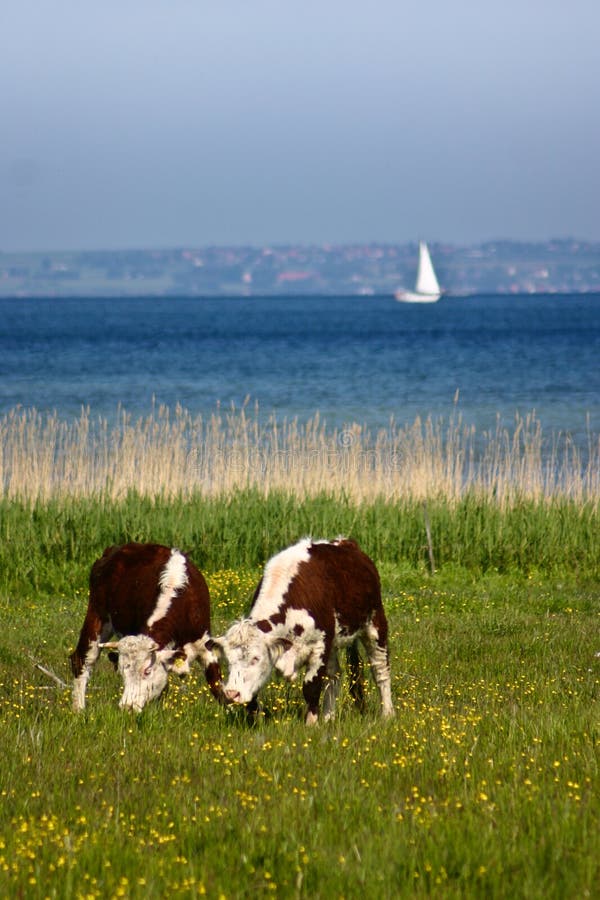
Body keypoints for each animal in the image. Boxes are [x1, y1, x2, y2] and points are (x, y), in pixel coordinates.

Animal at [69, 542, 223, 712]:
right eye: (122, 672)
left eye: (147, 671)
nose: (127, 707)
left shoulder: (204, 644)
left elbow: (218, 686)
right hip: (96, 615)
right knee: (82, 660)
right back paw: (79, 710)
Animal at [210, 537, 394, 724]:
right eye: (228, 660)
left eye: (256, 658)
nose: (232, 694)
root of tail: (345, 542)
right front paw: (257, 722)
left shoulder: (320, 645)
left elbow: (311, 687)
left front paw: (311, 723)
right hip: (334, 642)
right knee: (334, 675)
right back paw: (328, 717)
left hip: (375, 624)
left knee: (380, 670)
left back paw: (388, 713)